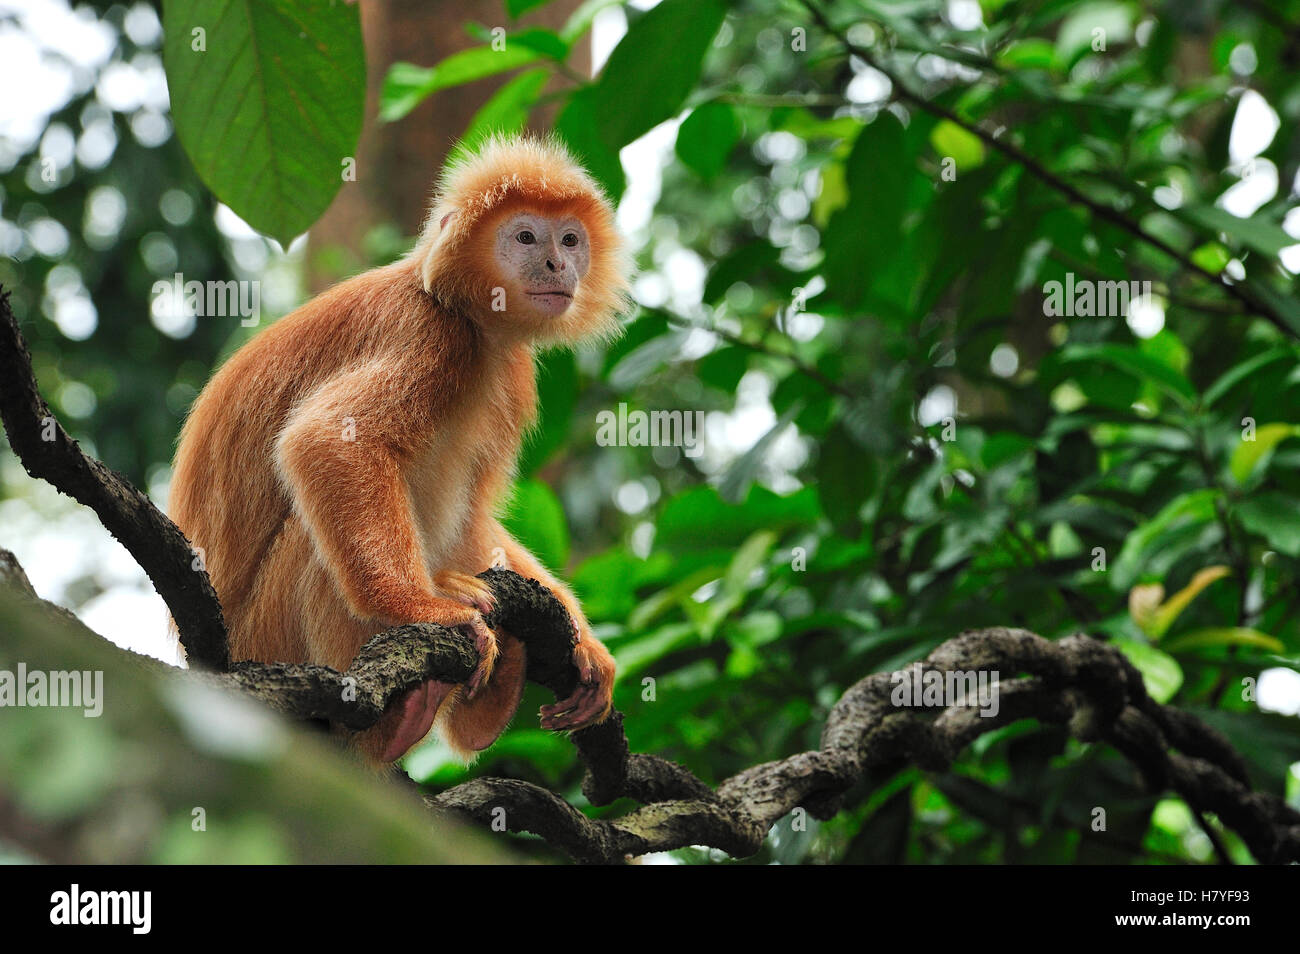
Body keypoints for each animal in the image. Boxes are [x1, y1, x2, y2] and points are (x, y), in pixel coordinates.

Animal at [168, 136, 631, 764]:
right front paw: (426, 609)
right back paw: (393, 720)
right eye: (525, 238)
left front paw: (586, 645)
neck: (468, 319)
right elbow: (325, 440)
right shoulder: (426, 334)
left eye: (569, 240)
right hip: (267, 638)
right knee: (310, 539)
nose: (559, 265)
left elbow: (475, 518)